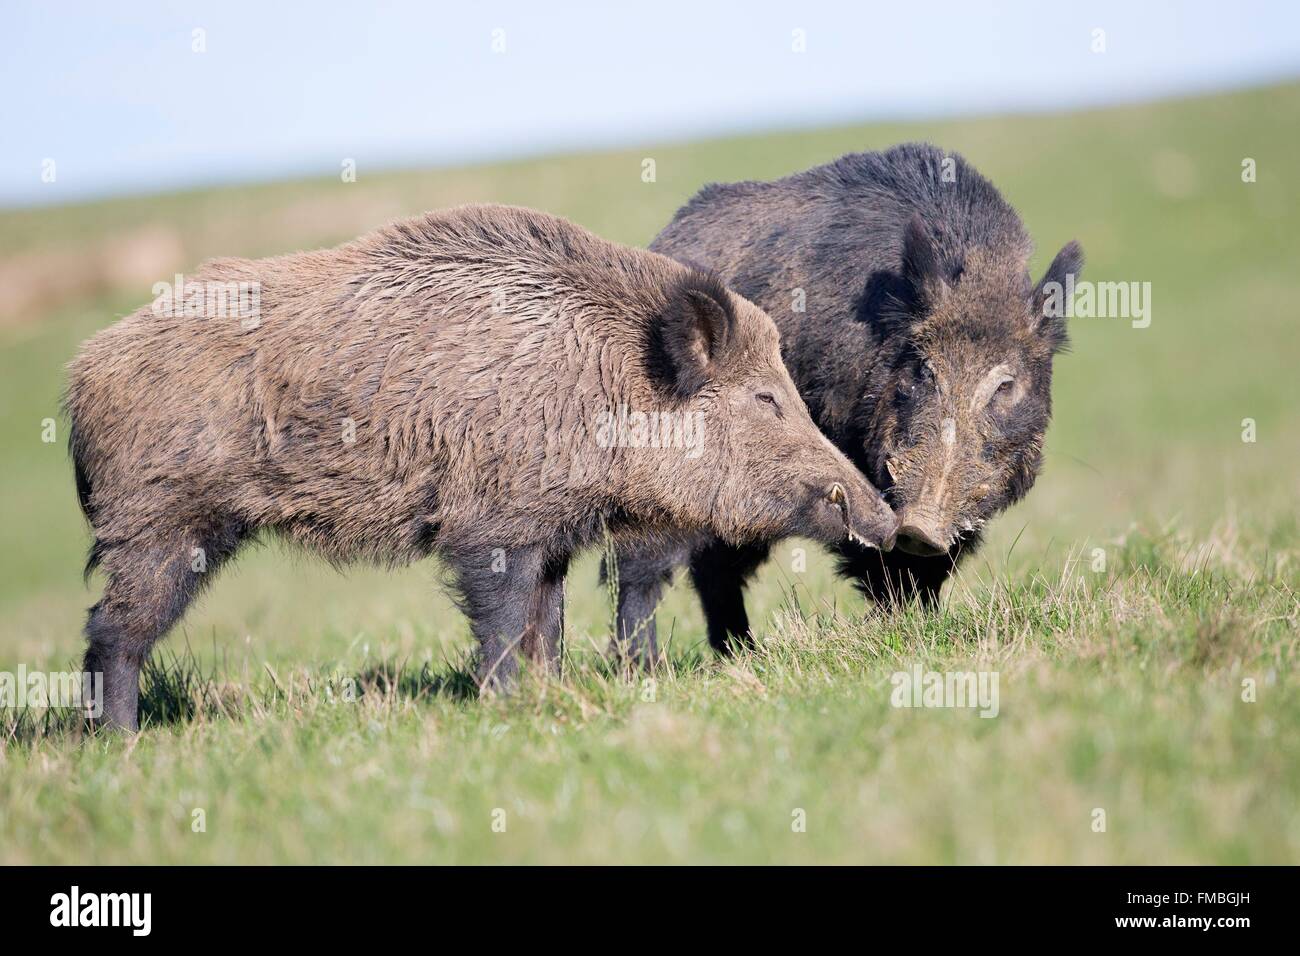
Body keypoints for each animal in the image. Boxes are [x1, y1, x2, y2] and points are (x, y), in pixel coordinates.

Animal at [66, 204, 897, 730]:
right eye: (767, 398)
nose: (887, 519)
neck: (605, 385)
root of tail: (81, 376)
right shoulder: (494, 524)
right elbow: (502, 622)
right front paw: (503, 707)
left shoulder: (554, 532)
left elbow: (548, 625)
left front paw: (551, 697)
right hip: (161, 523)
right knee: (113, 630)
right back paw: (122, 744)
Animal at [612, 143, 1083, 659]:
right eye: (923, 368)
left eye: (1005, 385)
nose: (919, 527)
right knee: (643, 568)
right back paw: (645, 665)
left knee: (715, 564)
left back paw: (740, 655)